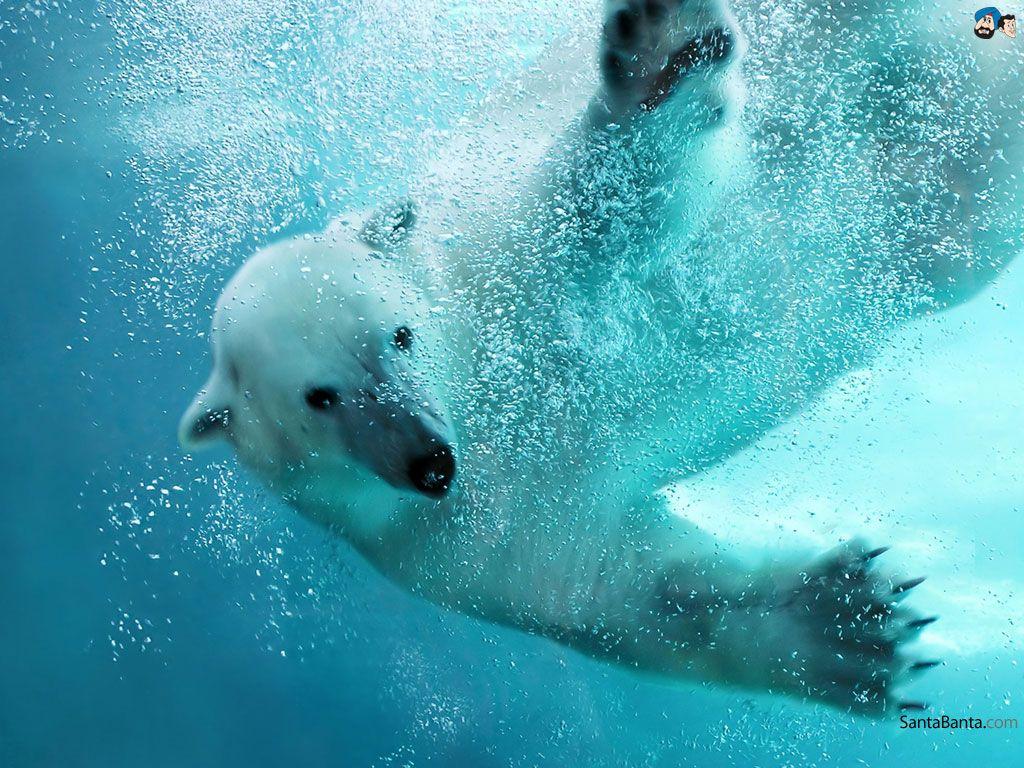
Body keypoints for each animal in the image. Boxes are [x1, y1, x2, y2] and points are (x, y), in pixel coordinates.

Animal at [180, 0, 1021, 713]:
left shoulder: (508, 252)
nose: (431, 462)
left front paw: (663, 55)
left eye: (399, 335)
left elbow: (610, 197)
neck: (480, 385)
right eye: (319, 398)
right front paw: (851, 627)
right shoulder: (456, 544)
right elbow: (629, 591)